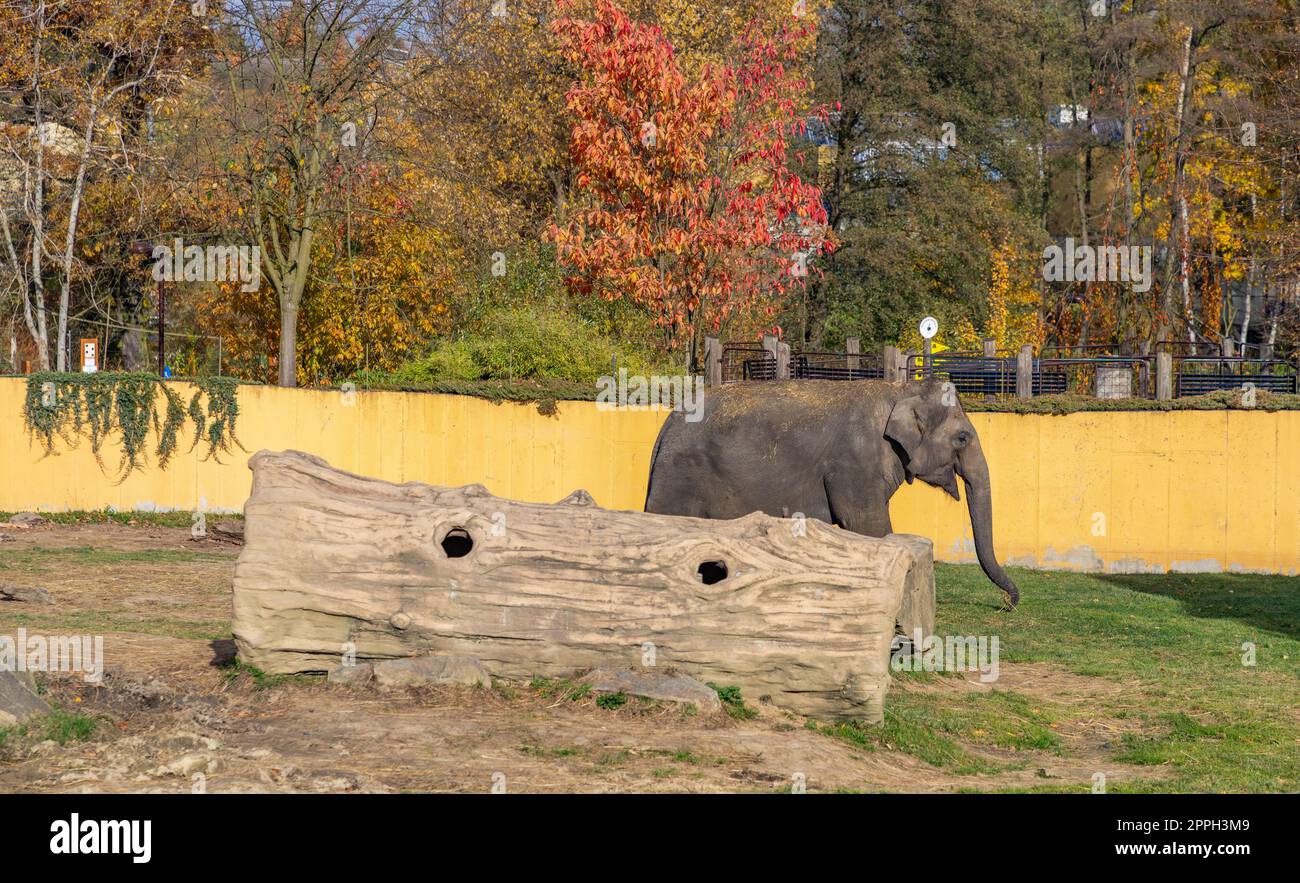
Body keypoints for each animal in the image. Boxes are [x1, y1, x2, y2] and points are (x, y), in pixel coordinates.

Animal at [643, 378, 1019, 609]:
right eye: (962, 438)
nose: (1009, 602)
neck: (899, 389)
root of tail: (665, 426)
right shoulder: (855, 463)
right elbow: (868, 526)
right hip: (678, 482)